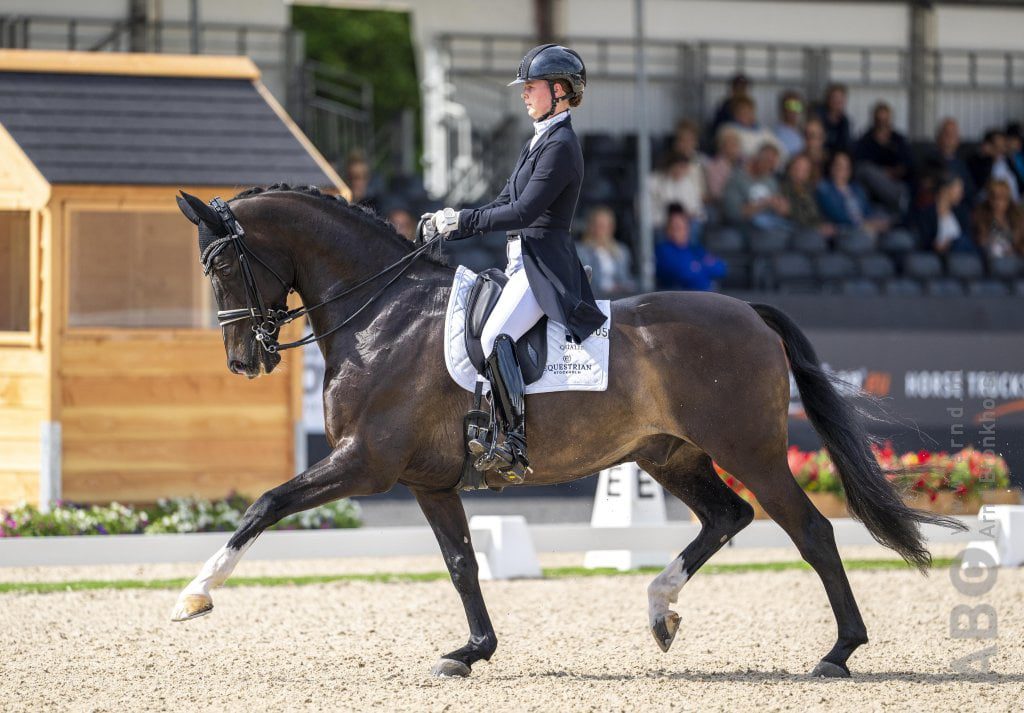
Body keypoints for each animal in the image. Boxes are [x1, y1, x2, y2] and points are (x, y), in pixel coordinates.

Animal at [171, 184, 964, 679]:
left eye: (219, 263)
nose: (243, 360)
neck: (382, 314)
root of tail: (748, 311)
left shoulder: (364, 461)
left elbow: (266, 503)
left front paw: (194, 595)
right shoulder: (426, 479)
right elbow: (462, 564)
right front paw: (471, 651)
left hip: (752, 451)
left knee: (811, 532)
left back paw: (839, 651)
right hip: (669, 453)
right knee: (727, 516)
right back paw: (660, 610)